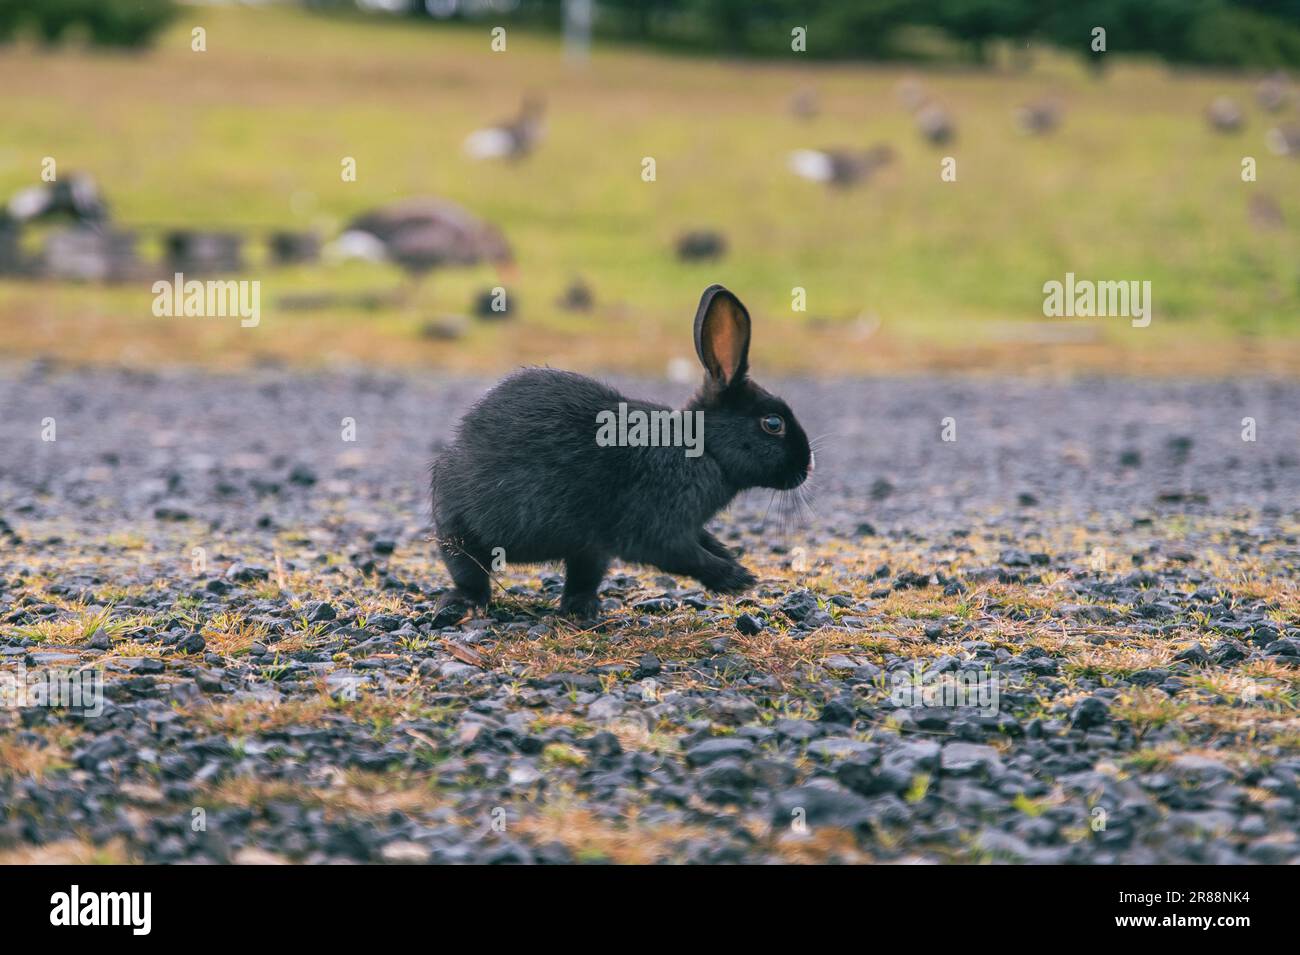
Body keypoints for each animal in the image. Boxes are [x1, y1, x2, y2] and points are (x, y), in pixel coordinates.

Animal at [430, 284, 814, 619]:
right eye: (773, 423)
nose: (806, 467)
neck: (702, 446)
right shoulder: (659, 524)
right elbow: (684, 554)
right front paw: (737, 579)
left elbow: (704, 541)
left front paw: (735, 563)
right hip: (459, 534)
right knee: (470, 574)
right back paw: (465, 605)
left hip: (588, 551)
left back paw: (583, 609)